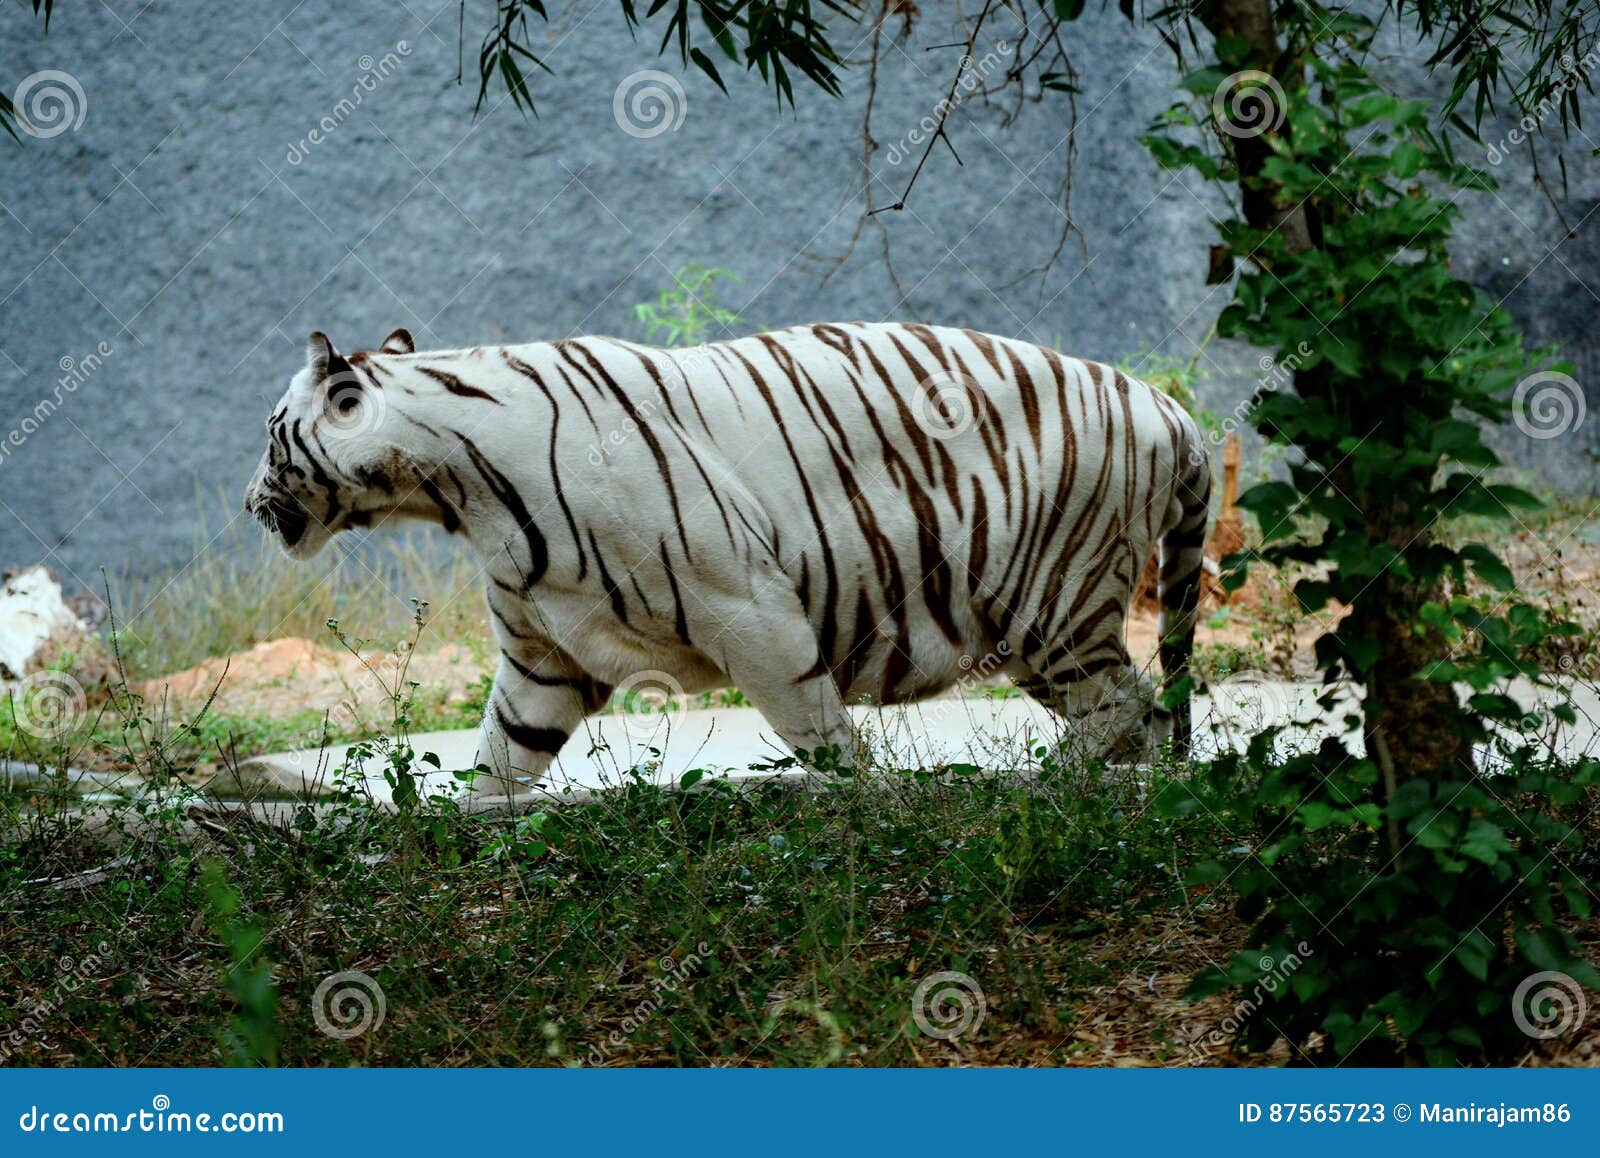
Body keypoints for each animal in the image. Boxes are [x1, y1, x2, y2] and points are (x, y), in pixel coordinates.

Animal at [244, 322, 1210, 799]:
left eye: (270, 434)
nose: (250, 500)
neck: (451, 488)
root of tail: (1171, 410)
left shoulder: (750, 611)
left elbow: (823, 737)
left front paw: (864, 798)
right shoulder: (541, 657)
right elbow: (499, 757)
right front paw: (480, 824)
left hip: (1054, 606)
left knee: (1128, 714)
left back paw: (1047, 782)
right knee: (1143, 717)